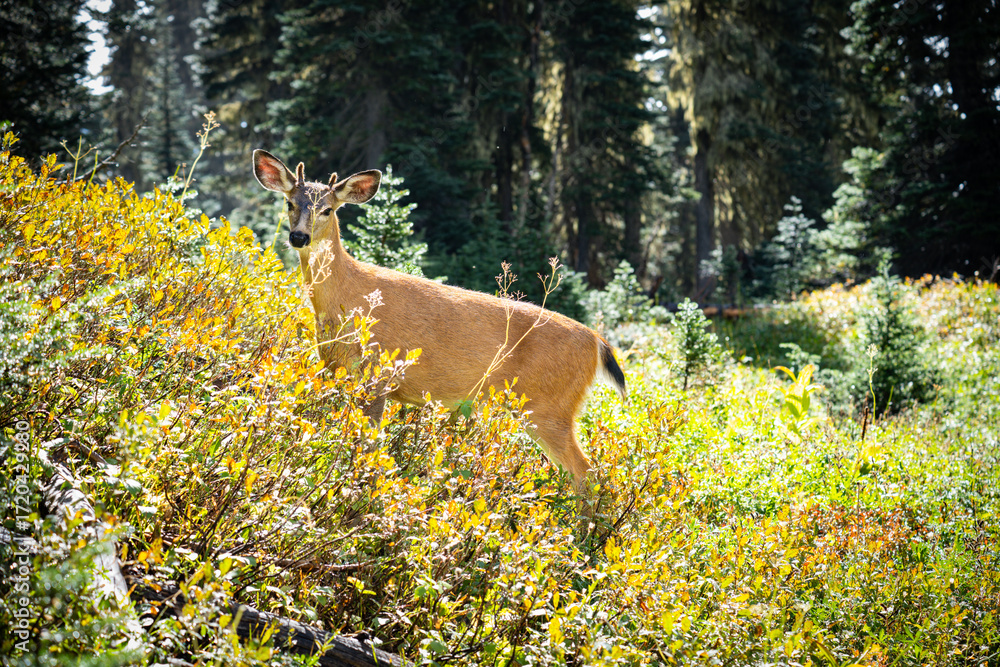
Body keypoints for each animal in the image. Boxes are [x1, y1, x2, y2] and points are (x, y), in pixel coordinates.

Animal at [252, 149, 626, 492]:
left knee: (586, 471)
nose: (298, 237)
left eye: (328, 209)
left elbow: (369, 445)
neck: (348, 300)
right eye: (289, 203)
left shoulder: (378, 372)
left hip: (549, 405)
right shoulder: (336, 370)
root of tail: (597, 342)